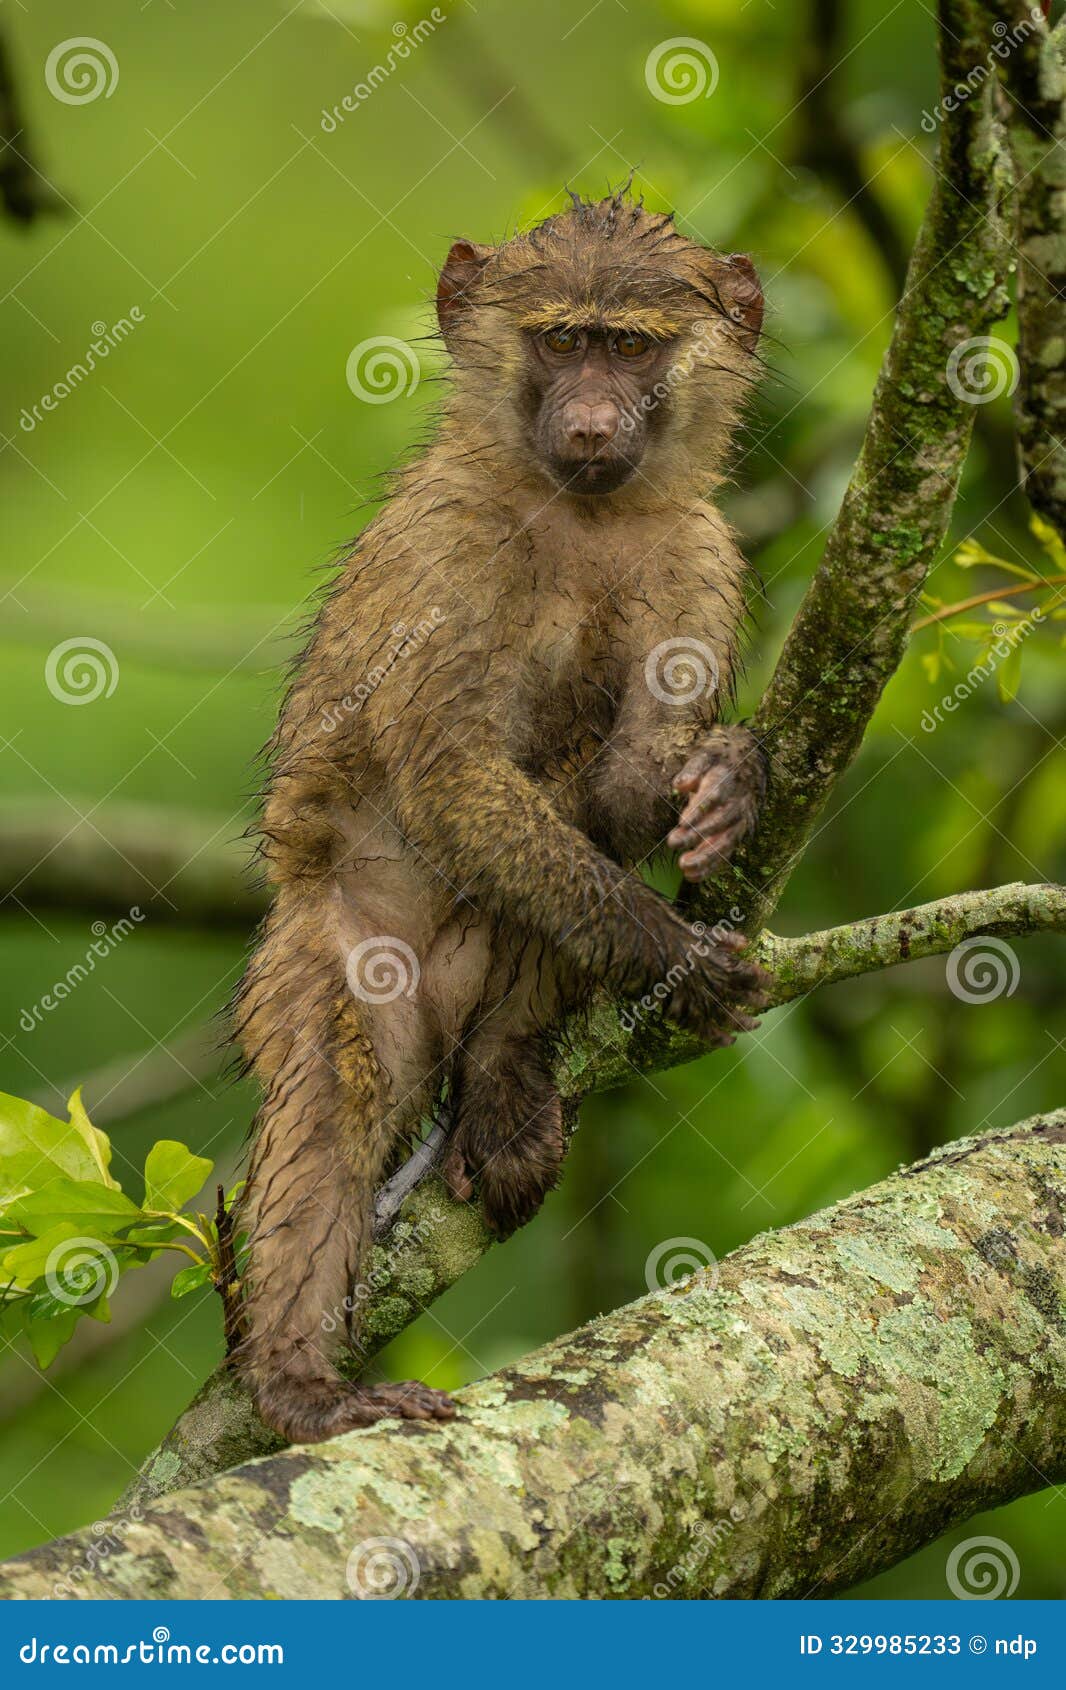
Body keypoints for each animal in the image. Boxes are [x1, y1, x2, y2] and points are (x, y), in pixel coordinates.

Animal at [233, 187, 772, 1445]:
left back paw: (505, 1073)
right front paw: (676, 951)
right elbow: (446, 778)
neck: (579, 516)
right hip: (340, 949)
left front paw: (726, 780)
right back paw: (297, 1385)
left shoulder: (699, 552)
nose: (589, 424)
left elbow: (618, 795)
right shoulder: (452, 551)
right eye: (560, 341)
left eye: (630, 346)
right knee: (334, 1099)